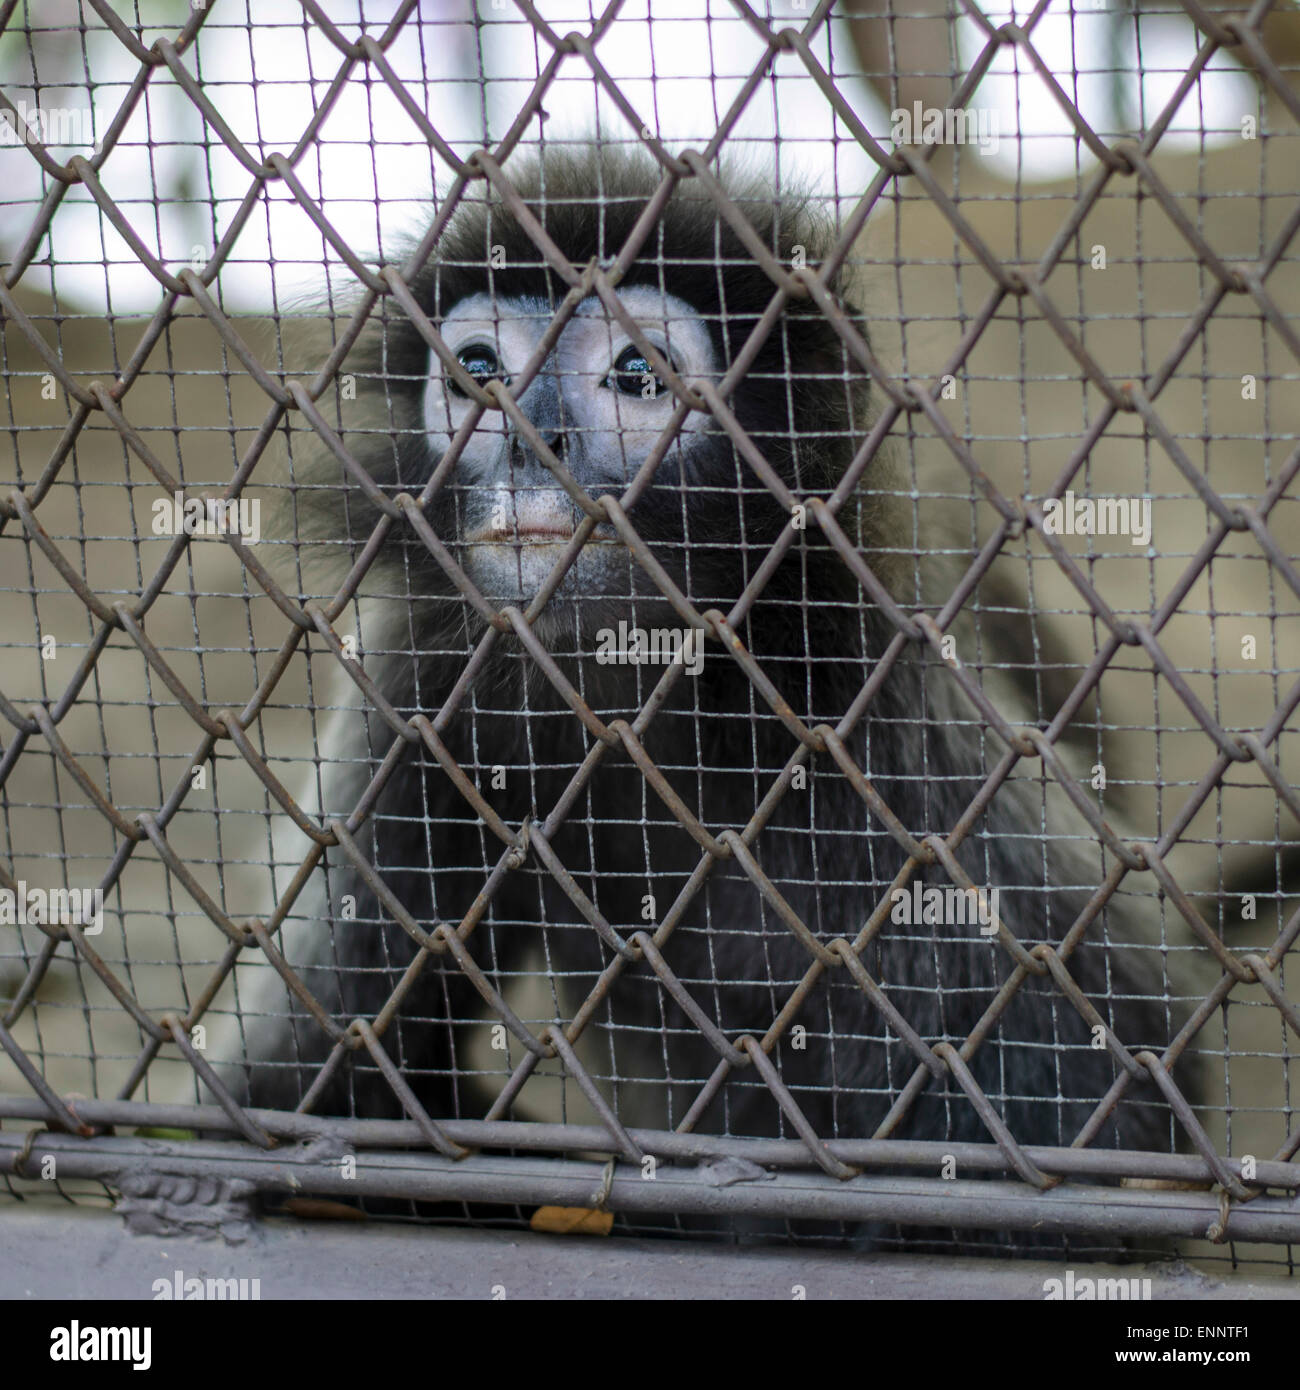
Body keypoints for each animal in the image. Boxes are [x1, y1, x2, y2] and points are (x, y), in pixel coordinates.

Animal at [205, 147, 1189, 1252]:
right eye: (478, 372)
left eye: (638, 375)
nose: (529, 442)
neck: (641, 683)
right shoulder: (419, 692)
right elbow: (316, 1094)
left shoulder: (885, 702)